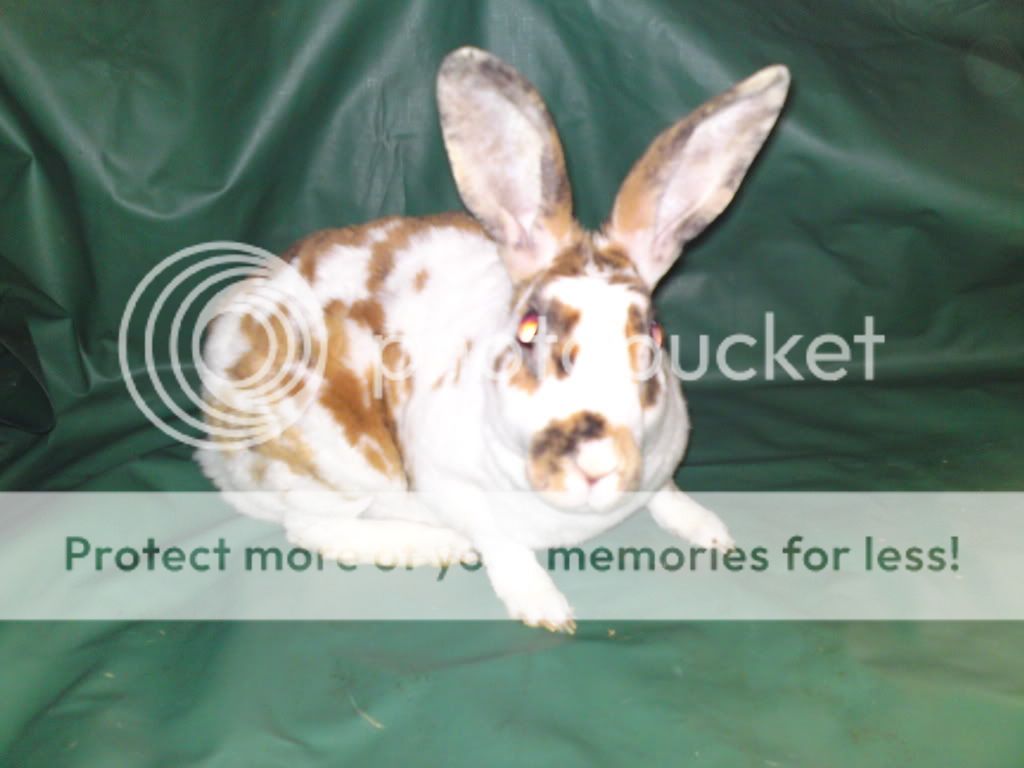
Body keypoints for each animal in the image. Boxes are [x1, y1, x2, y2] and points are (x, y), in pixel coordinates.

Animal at [196, 47, 790, 631]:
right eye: (527, 330)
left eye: (653, 332)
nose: (596, 461)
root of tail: (214, 446)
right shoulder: (453, 485)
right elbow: (502, 544)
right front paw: (545, 609)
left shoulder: (660, 467)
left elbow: (667, 494)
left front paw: (711, 531)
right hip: (344, 462)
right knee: (311, 528)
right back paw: (438, 544)